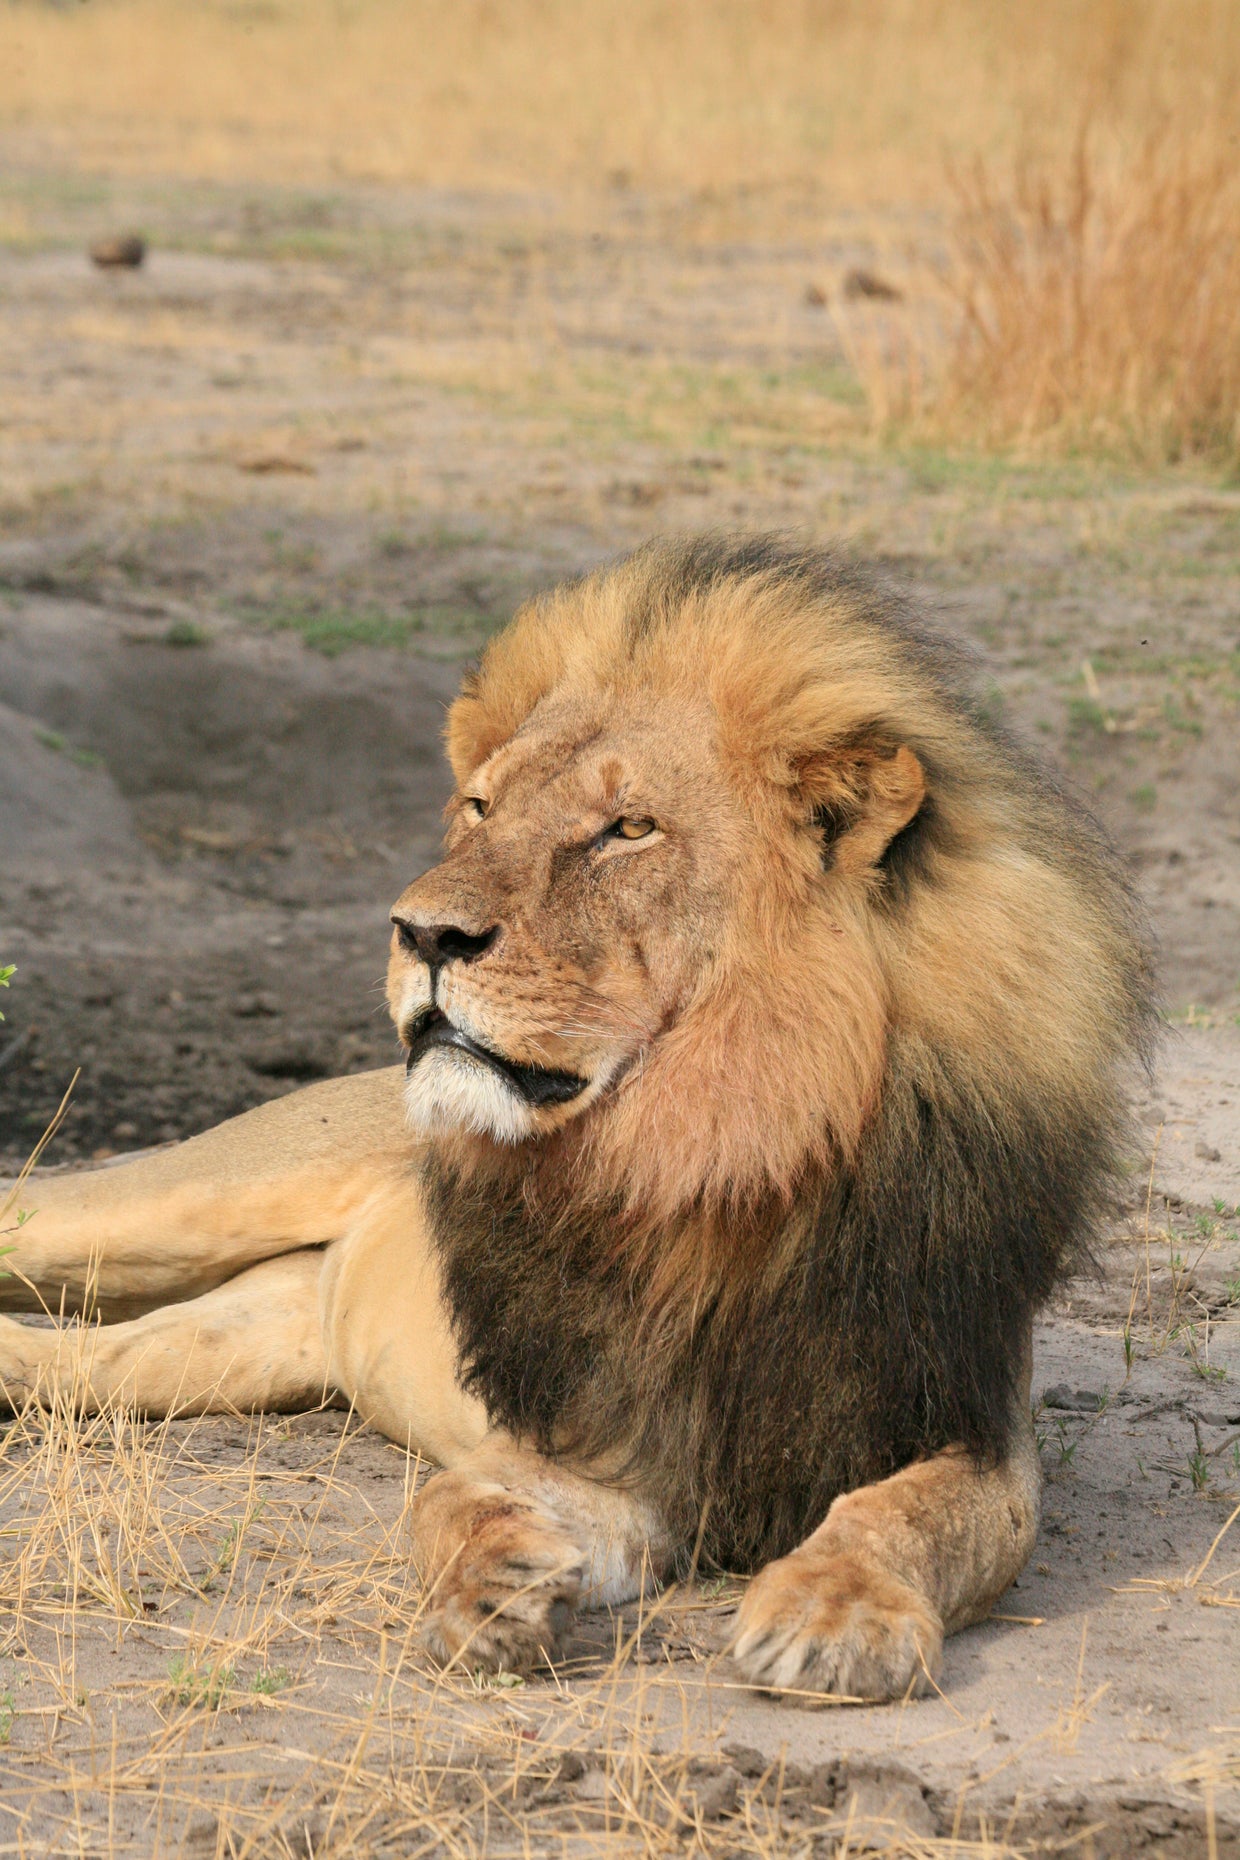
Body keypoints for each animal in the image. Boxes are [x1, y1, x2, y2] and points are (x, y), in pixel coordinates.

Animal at [0, 537, 1153, 1699]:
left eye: (627, 829)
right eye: (478, 809)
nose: (421, 932)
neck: (712, 1150)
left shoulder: (966, 1421)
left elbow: (915, 1513)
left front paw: (835, 1612)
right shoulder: (587, 1445)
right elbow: (451, 1496)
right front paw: (492, 1589)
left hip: (225, 1348)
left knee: (75, 1362)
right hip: (176, 1203)